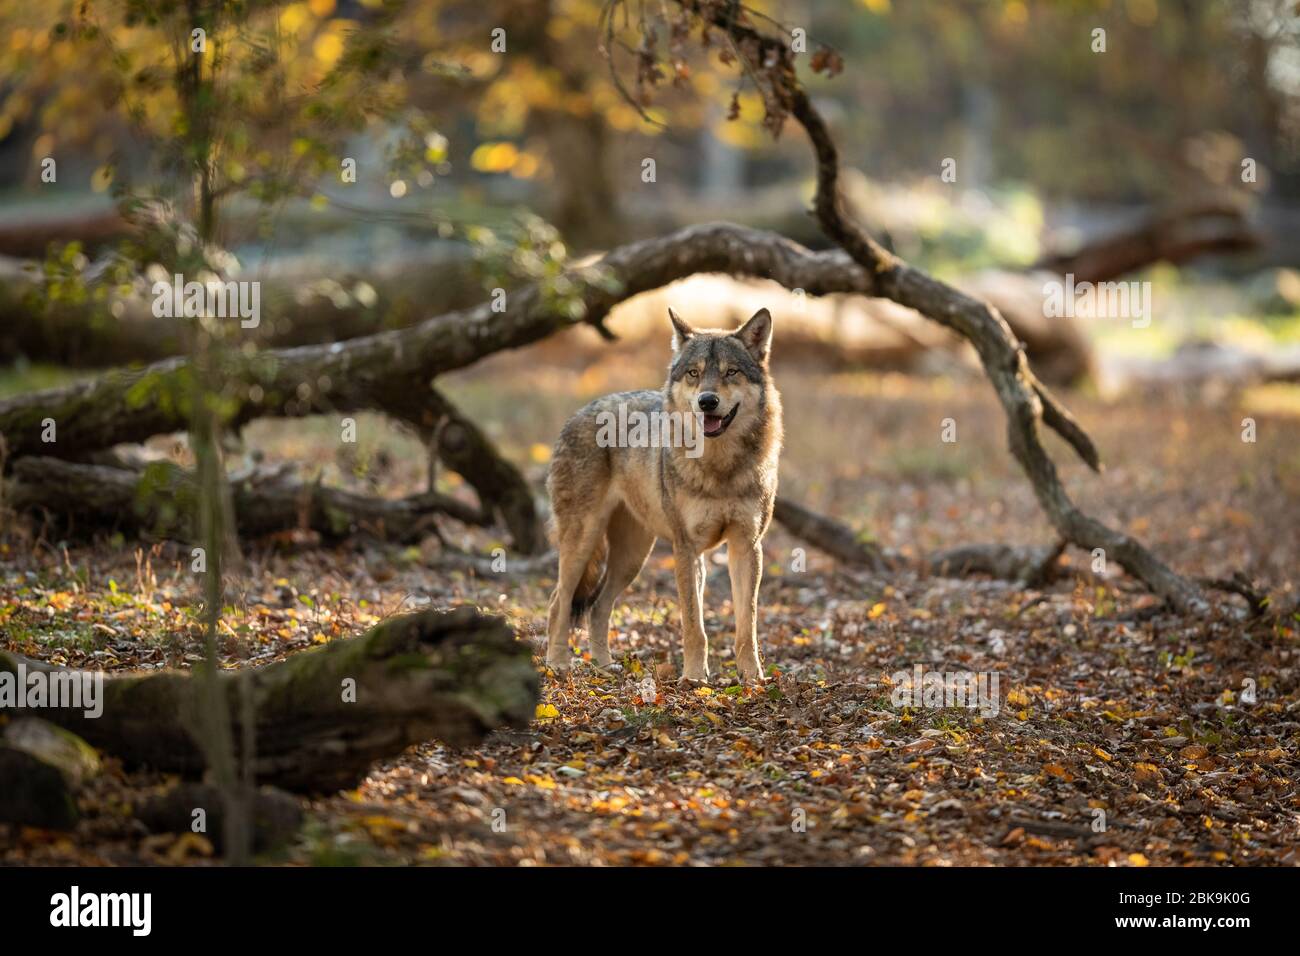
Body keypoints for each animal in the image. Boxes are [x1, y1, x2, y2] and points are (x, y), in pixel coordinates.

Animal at [545, 307, 782, 684]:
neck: (720, 468)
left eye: (730, 372)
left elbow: (747, 626)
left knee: (598, 607)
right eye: (694, 373)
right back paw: (557, 664)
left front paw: (752, 680)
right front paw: (695, 679)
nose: (707, 401)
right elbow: (694, 625)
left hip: (632, 558)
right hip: (583, 542)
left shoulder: (746, 547)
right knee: (559, 601)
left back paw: (604, 667)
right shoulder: (686, 549)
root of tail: (582, 410)